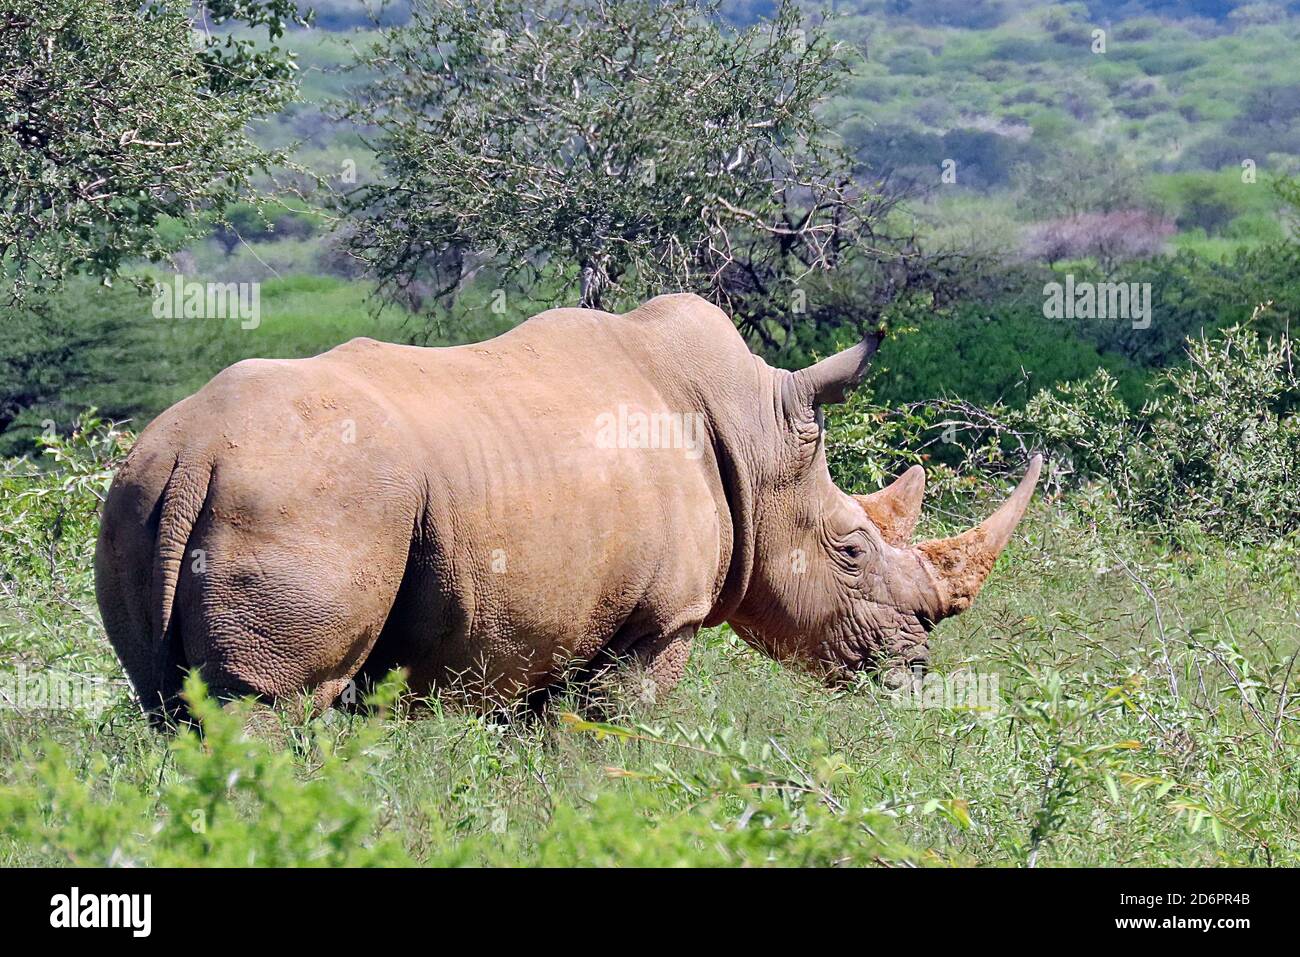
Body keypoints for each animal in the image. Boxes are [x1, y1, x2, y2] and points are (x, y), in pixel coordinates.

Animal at [95, 293, 1040, 722]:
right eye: (850, 549)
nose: (915, 671)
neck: (757, 435)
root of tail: (195, 453)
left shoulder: (556, 624)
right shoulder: (658, 622)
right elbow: (610, 741)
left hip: (137, 497)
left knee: (170, 707)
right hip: (311, 495)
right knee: (267, 706)